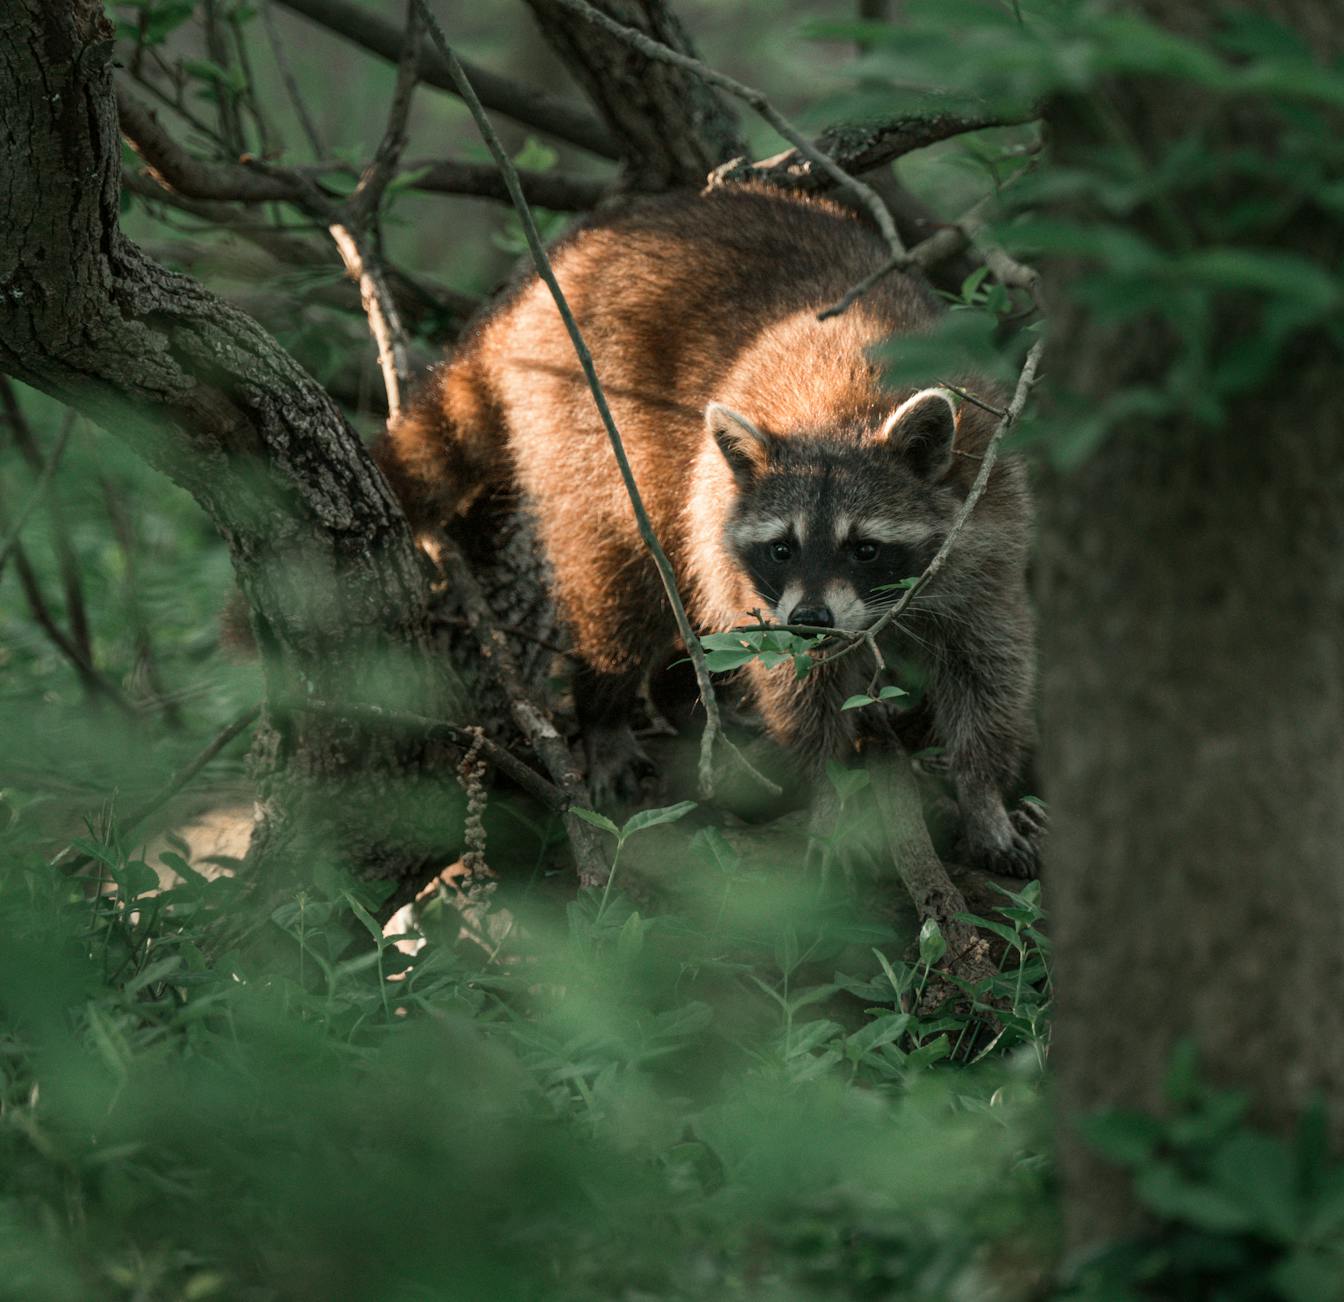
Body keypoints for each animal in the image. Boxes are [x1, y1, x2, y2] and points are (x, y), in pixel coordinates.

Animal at [376, 186, 1038, 876]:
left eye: (865, 549)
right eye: (782, 548)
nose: (812, 620)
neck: (842, 410)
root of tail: (544, 283)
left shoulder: (988, 520)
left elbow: (990, 665)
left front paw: (981, 791)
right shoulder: (754, 576)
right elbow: (794, 682)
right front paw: (828, 791)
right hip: (586, 424)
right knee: (622, 579)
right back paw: (603, 707)